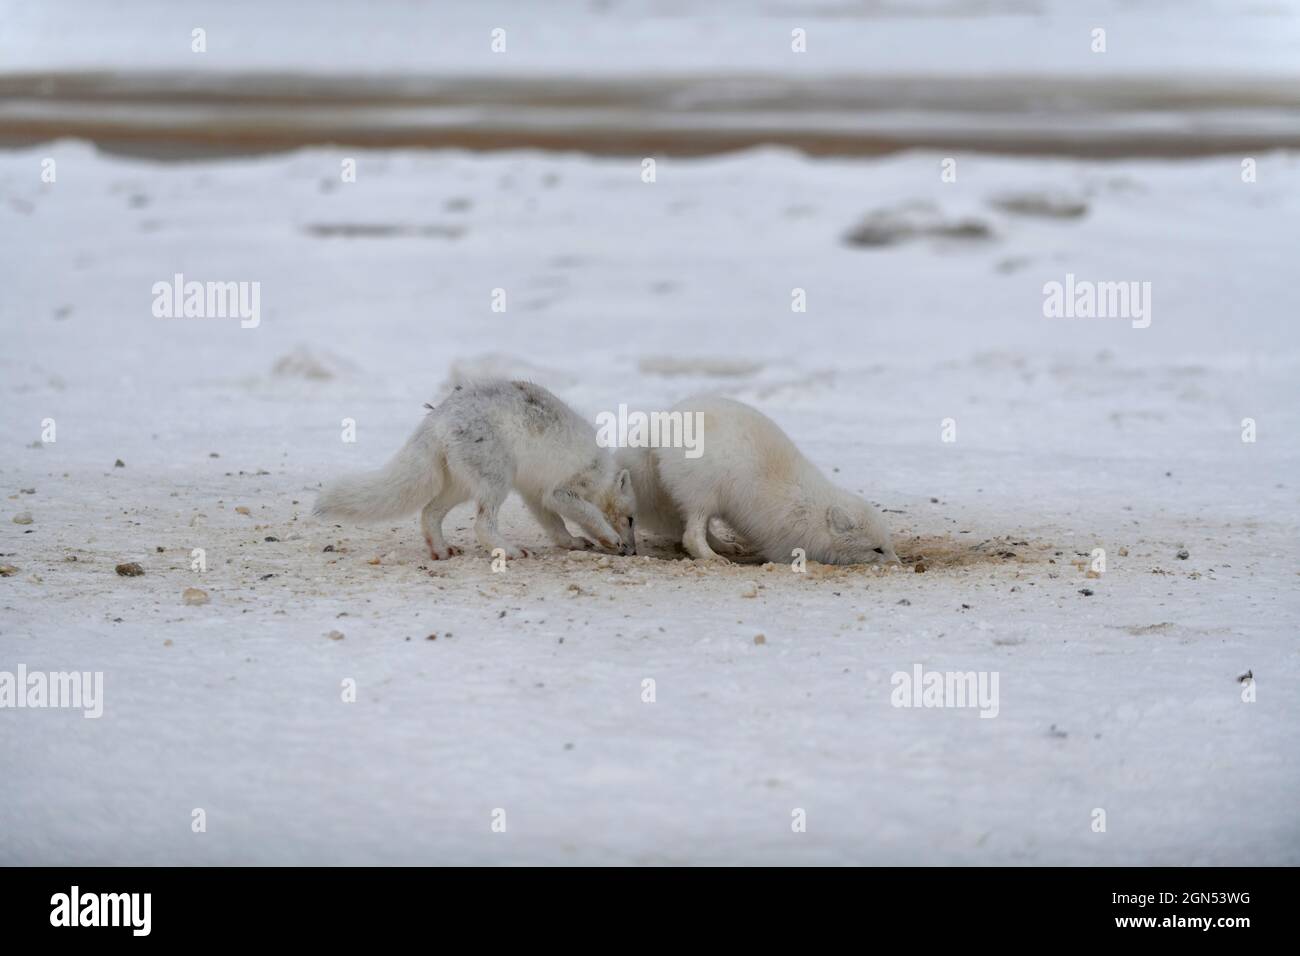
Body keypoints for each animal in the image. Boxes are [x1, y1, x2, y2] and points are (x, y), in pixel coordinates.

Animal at [314, 380, 637, 560]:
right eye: (632, 520)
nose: (632, 551)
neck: (604, 478)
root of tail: (438, 417)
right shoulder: (562, 491)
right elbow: (588, 513)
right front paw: (611, 538)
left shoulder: (536, 496)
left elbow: (555, 526)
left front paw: (573, 542)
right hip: (496, 480)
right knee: (482, 524)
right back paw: (511, 551)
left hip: (463, 486)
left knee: (429, 512)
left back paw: (441, 550)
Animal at [616, 396, 899, 566]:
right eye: (877, 549)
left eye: (887, 545)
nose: (897, 563)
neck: (813, 511)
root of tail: (657, 431)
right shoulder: (785, 542)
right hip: (703, 493)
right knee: (692, 535)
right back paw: (713, 557)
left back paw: (726, 547)